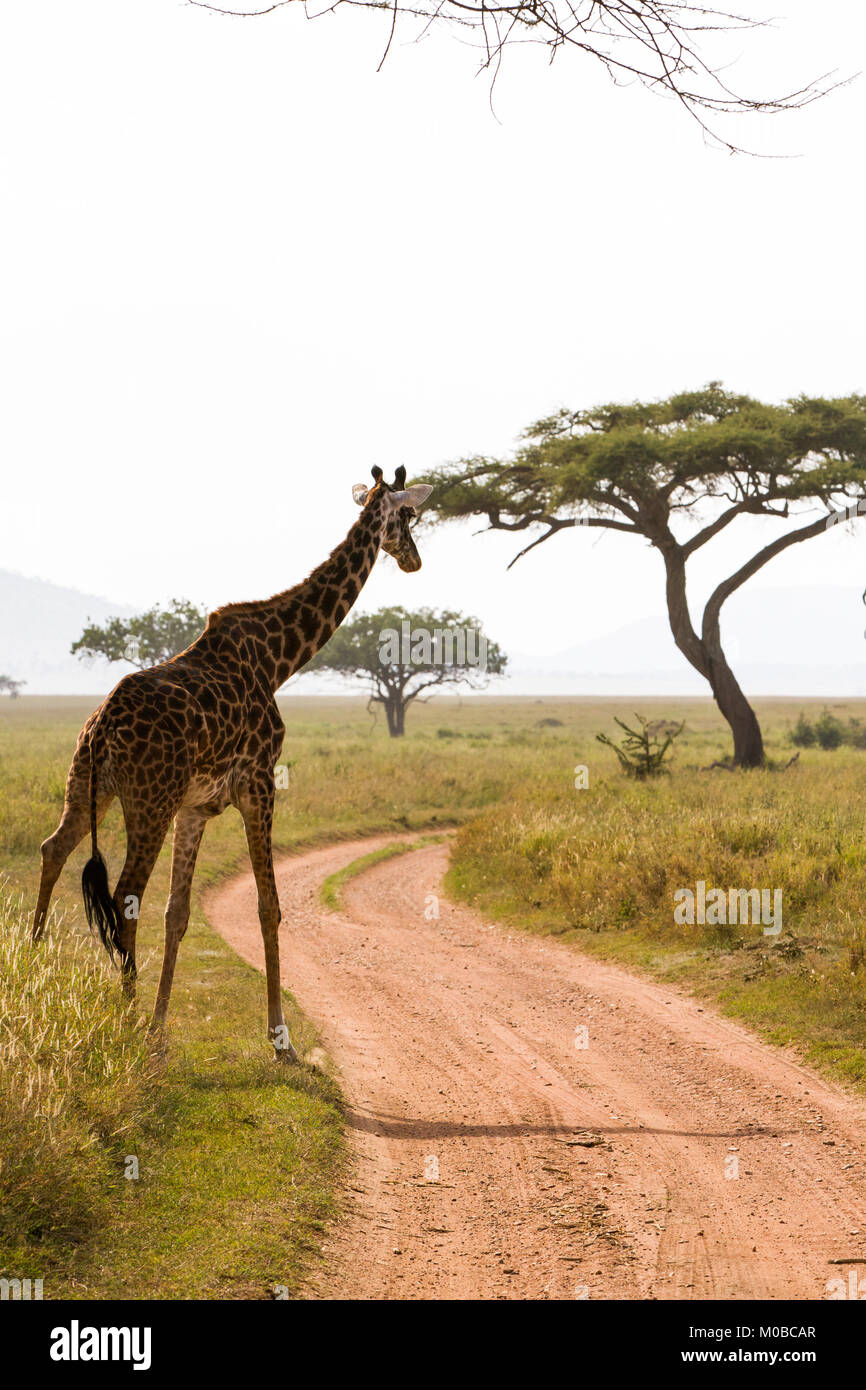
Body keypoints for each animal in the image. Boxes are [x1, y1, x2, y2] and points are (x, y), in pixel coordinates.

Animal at [32, 465, 433, 1060]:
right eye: (409, 516)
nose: (413, 560)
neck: (278, 660)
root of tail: (102, 727)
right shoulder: (259, 783)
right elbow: (269, 906)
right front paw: (281, 1041)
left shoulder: (195, 807)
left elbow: (178, 913)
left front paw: (160, 1032)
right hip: (147, 802)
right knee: (124, 894)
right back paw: (124, 1014)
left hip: (88, 785)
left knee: (55, 848)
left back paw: (38, 964)